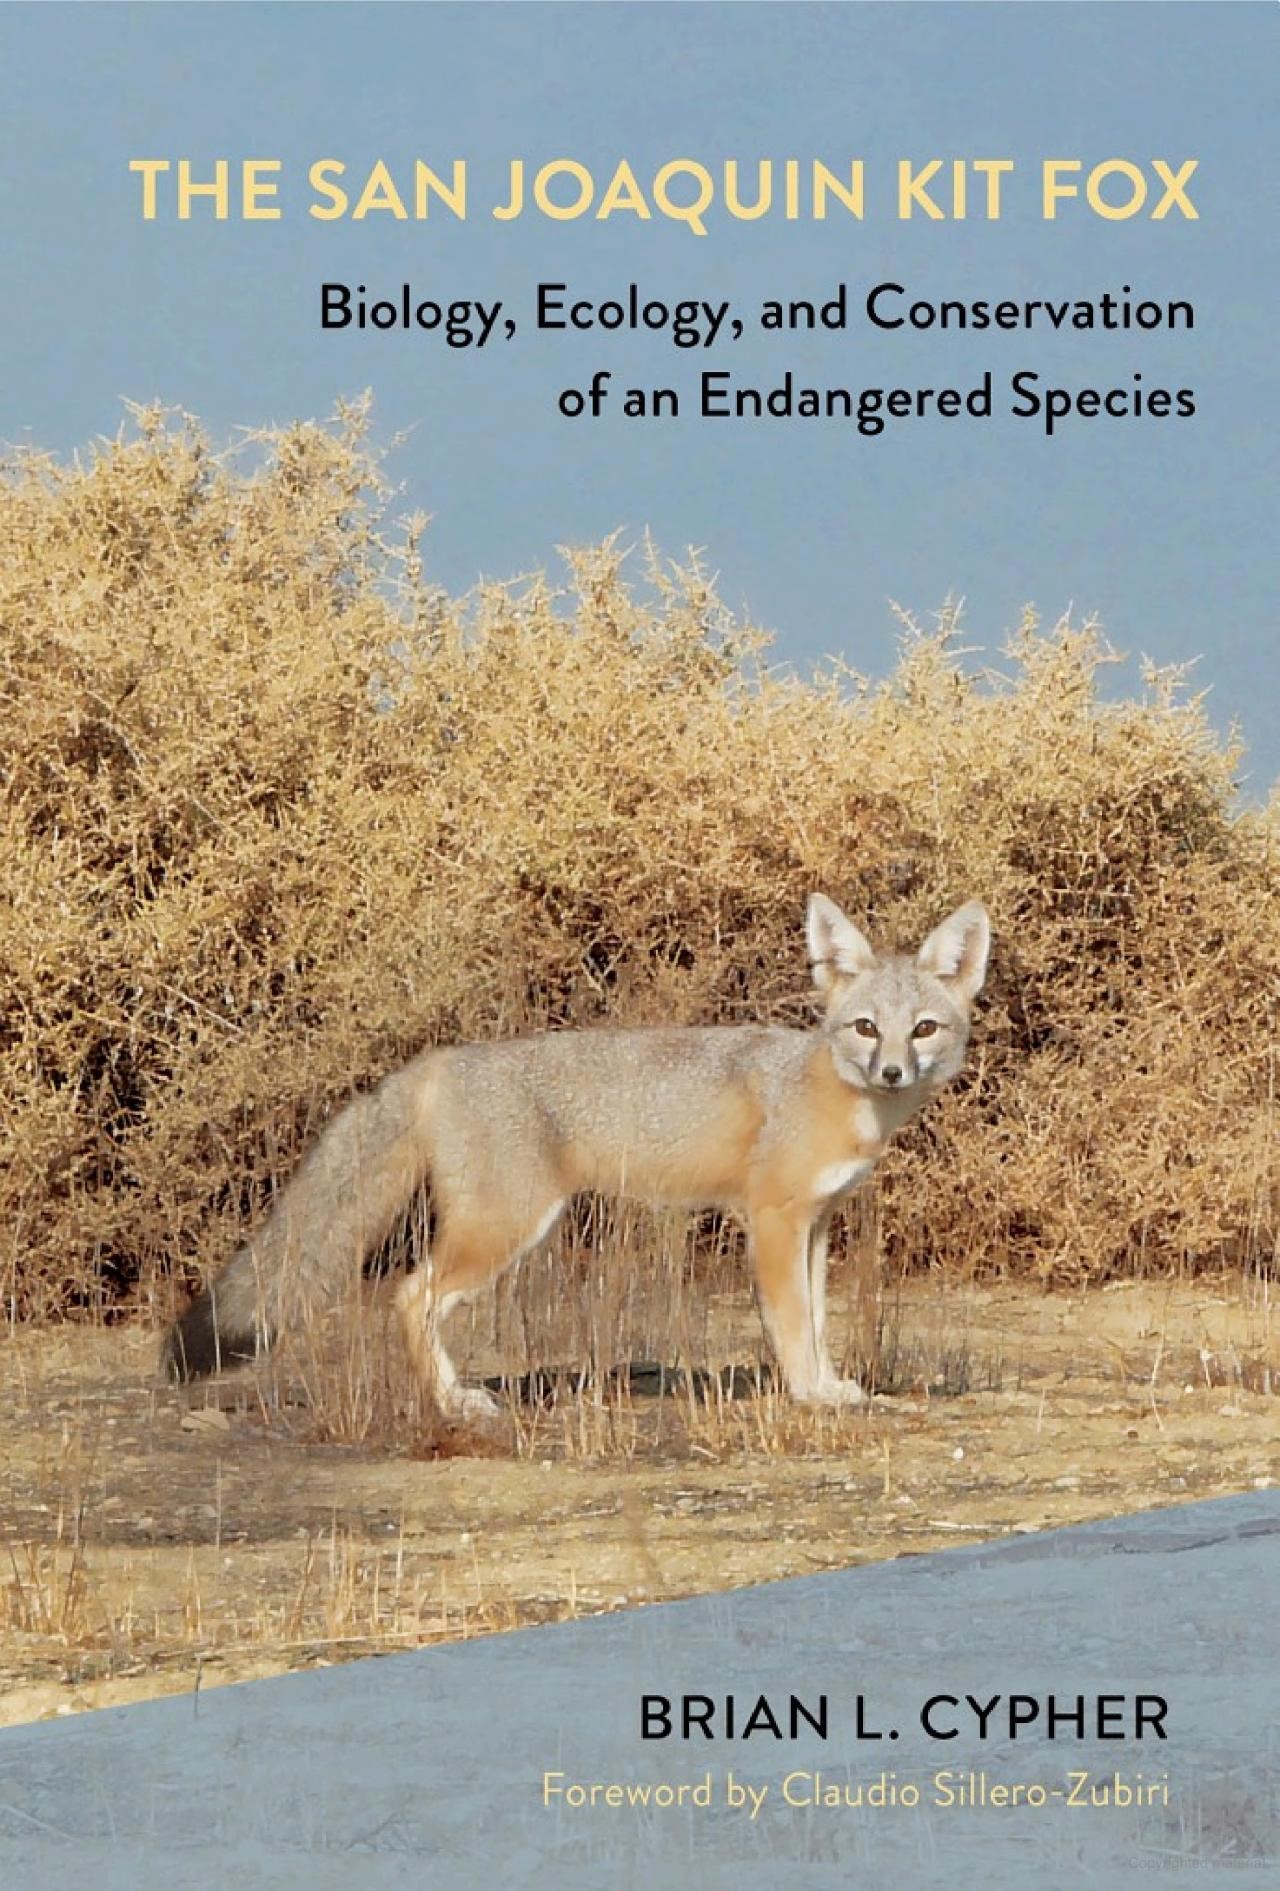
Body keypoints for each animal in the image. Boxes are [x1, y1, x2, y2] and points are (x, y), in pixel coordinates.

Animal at [162, 895, 990, 1421]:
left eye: (922, 1028)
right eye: (864, 1027)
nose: (892, 1071)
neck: (830, 1093)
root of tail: (439, 1061)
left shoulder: (814, 1222)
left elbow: (815, 1318)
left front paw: (831, 1385)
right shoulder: (772, 1219)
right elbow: (790, 1324)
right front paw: (811, 1394)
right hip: (506, 1228)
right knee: (408, 1295)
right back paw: (456, 1401)